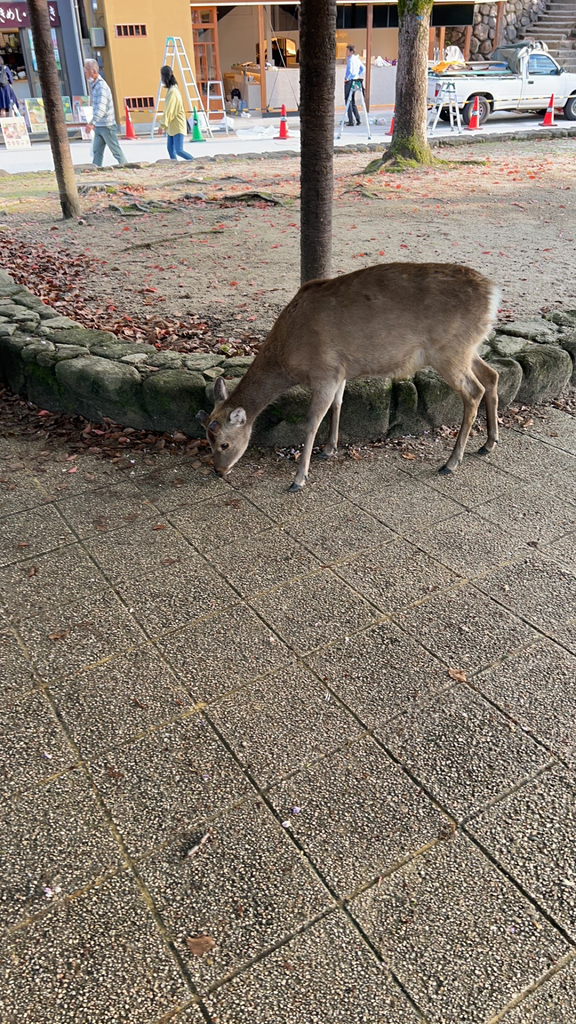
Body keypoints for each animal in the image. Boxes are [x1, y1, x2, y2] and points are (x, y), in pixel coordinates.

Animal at [197, 262, 500, 492]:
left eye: (223, 443)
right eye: (206, 440)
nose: (219, 471)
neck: (289, 355)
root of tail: (493, 295)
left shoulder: (324, 370)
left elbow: (312, 421)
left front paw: (299, 479)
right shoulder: (340, 370)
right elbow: (338, 403)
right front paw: (329, 449)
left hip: (449, 350)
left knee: (473, 391)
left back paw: (451, 463)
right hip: (468, 348)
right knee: (492, 375)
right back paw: (488, 443)